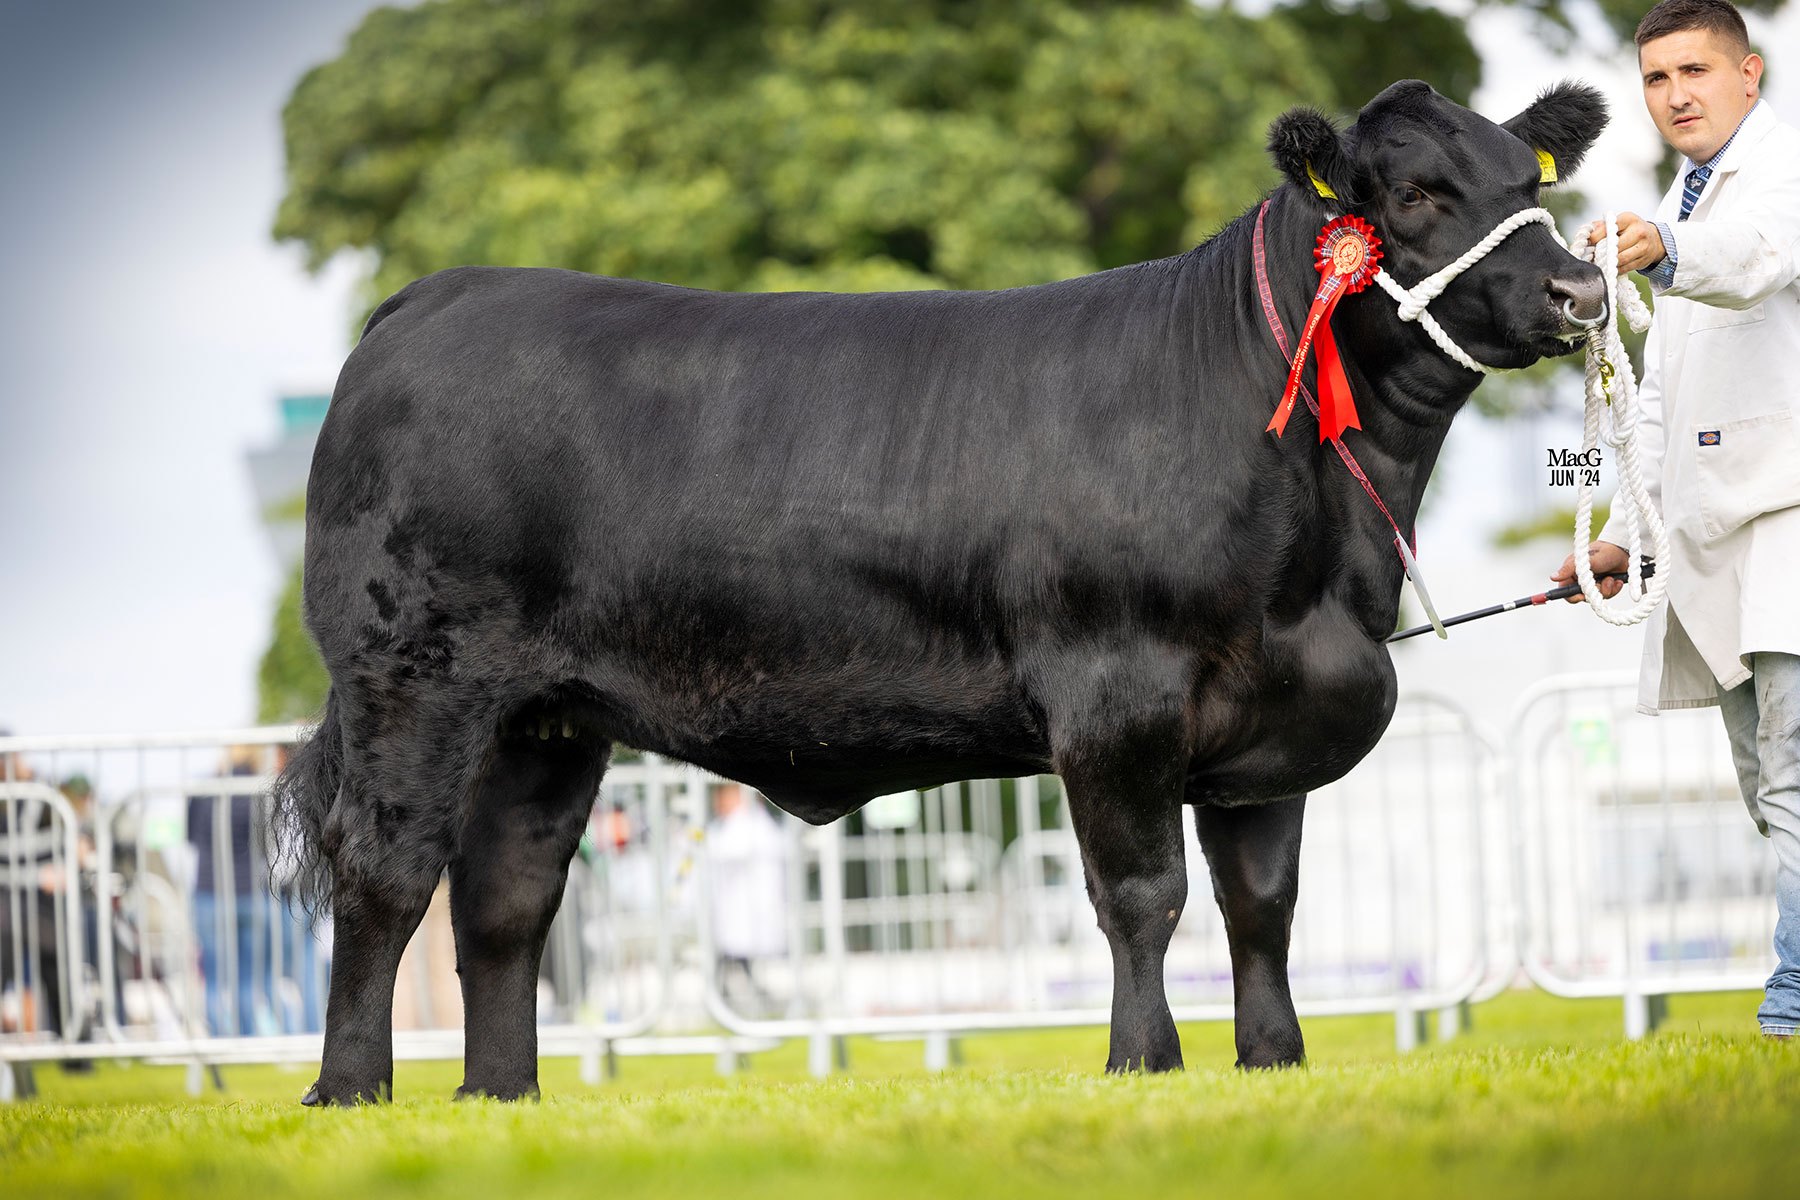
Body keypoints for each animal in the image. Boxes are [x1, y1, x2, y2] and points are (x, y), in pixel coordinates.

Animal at [277, 79, 1608, 1104]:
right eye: (1418, 193)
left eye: (1523, 180)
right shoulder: (1116, 691)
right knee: (384, 868)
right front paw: (1146, 1065)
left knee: (505, 895)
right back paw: (351, 1090)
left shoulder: (1275, 702)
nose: (1579, 294)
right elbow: (1144, 895)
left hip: (541, 719)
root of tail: (433, 298)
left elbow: (1263, 904)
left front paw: (1272, 1064)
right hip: (413, 678)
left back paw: (502, 1098)